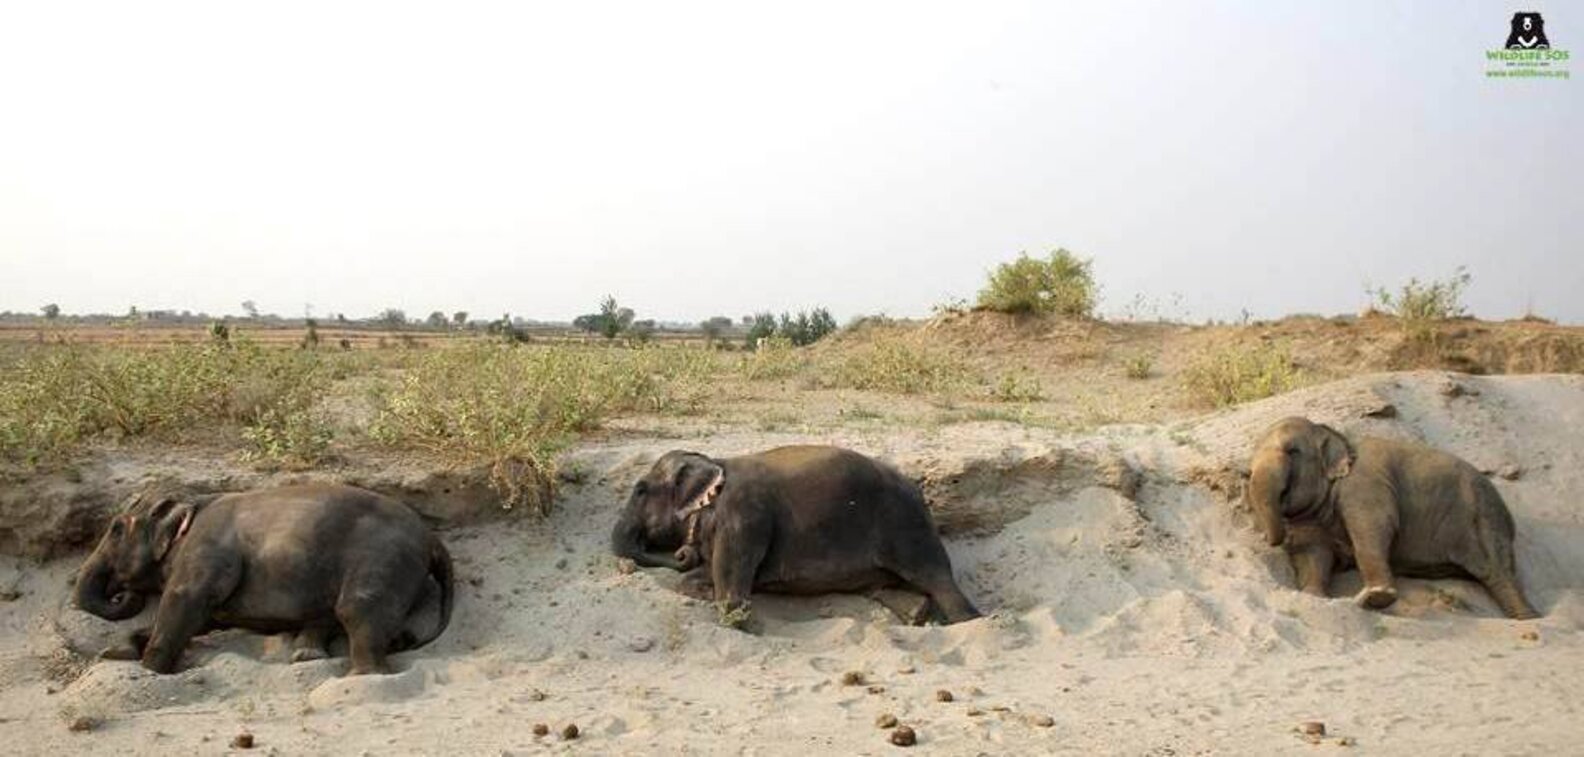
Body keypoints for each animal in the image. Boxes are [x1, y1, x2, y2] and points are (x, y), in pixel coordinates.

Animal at [74, 483, 454, 674]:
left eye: (115, 529)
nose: (122, 594)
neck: (190, 504)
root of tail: (434, 540)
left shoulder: (207, 549)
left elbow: (186, 599)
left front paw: (150, 668)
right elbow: (203, 620)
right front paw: (116, 652)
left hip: (383, 558)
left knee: (355, 610)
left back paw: (359, 678)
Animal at [611, 445, 980, 625]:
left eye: (640, 490)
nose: (680, 552)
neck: (714, 463)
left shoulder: (743, 520)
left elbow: (726, 584)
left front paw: (733, 616)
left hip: (908, 529)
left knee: (938, 580)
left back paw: (968, 621)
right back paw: (916, 615)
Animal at [1246, 416, 1538, 619]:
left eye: (1293, 451)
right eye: (1248, 468)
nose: (1271, 540)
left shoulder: (1365, 486)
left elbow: (1373, 531)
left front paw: (1375, 598)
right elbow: (1314, 551)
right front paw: (1312, 595)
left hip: (1485, 518)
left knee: (1497, 572)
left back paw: (1527, 619)